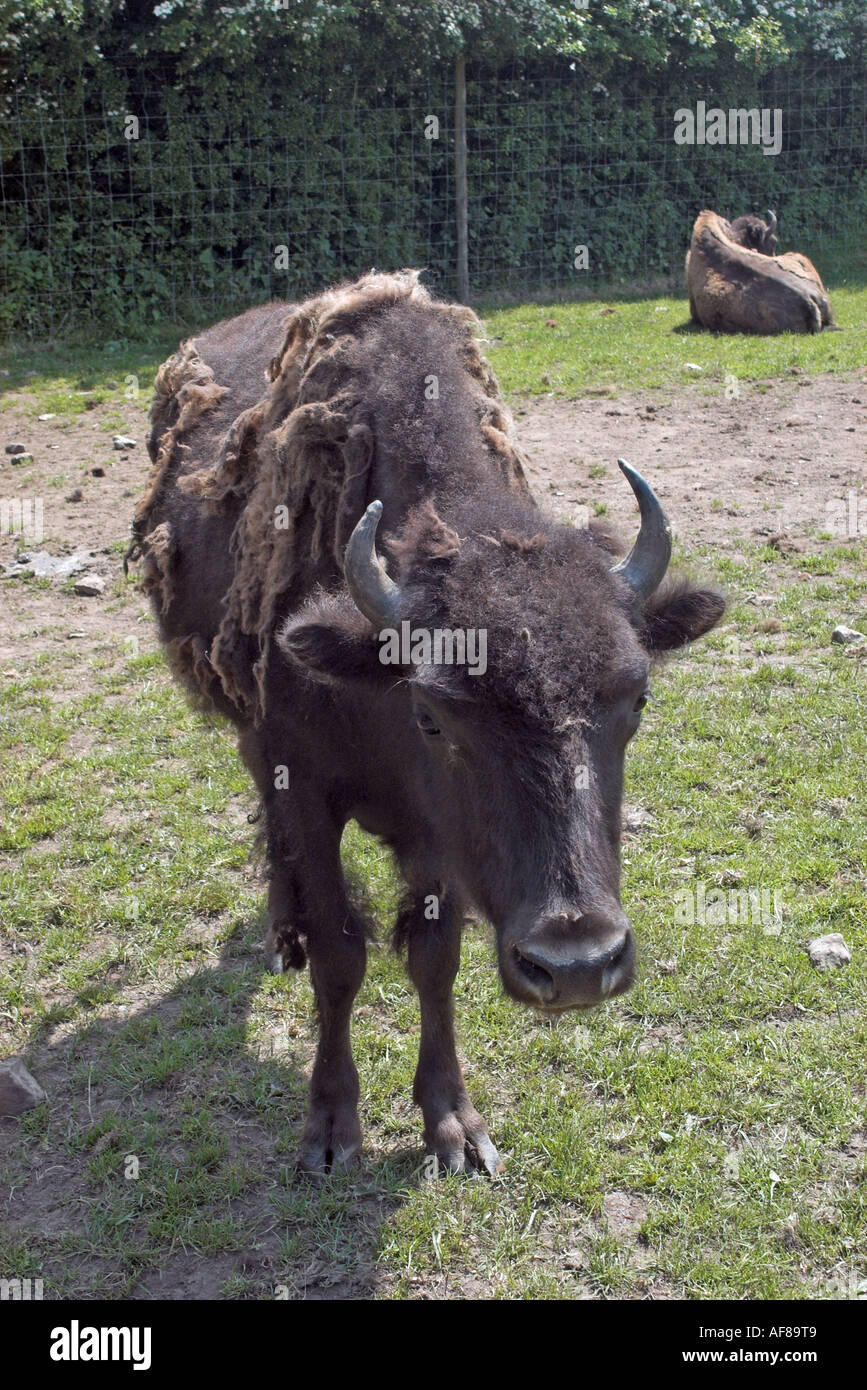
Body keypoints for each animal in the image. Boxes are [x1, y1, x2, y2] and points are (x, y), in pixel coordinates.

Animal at [128, 270, 724, 1175]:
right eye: (432, 717)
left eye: (636, 700)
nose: (575, 964)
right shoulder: (308, 792)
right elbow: (340, 952)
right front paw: (330, 1129)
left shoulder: (438, 841)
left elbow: (433, 960)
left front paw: (453, 1126)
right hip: (250, 734)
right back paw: (278, 935)